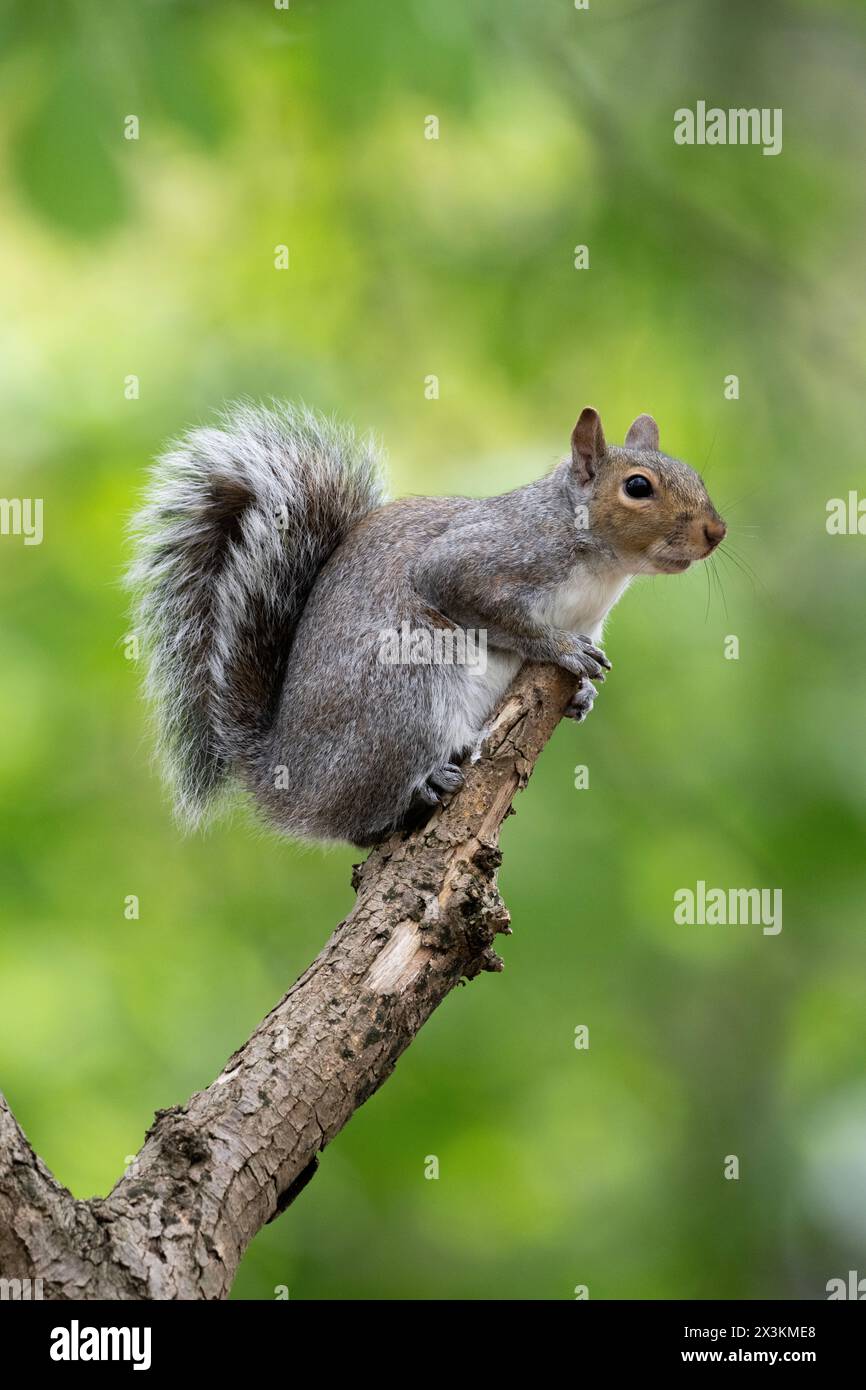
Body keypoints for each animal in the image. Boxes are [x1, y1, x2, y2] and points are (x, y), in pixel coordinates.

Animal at [129, 402, 725, 847]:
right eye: (638, 487)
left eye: (696, 475)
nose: (716, 532)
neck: (601, 572)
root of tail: (284, 777)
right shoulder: (475, 563)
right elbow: (484, 606)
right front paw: (561, 649)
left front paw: (582, 696)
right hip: (406, 689)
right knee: (362, 819)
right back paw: (425, 783)